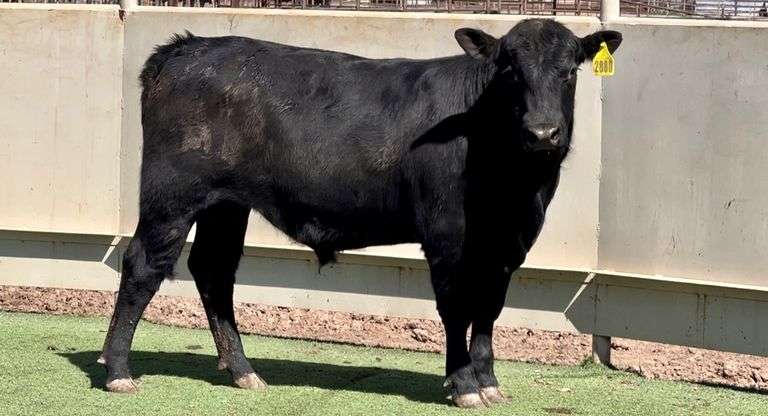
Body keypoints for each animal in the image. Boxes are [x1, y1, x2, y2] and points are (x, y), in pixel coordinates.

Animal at [99, 19, 621, 408]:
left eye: (570, 71)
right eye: (510, 70)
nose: (543, 132)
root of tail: (186, 48)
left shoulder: (508, 244)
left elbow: (489, 310)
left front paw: (488, 381)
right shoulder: (446, 234)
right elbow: (456, 307)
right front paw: (464, 385)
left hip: (226, 205)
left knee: (213, 271)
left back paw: (244, 371)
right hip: (172, 195)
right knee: (143, 266)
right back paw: (118, 369)